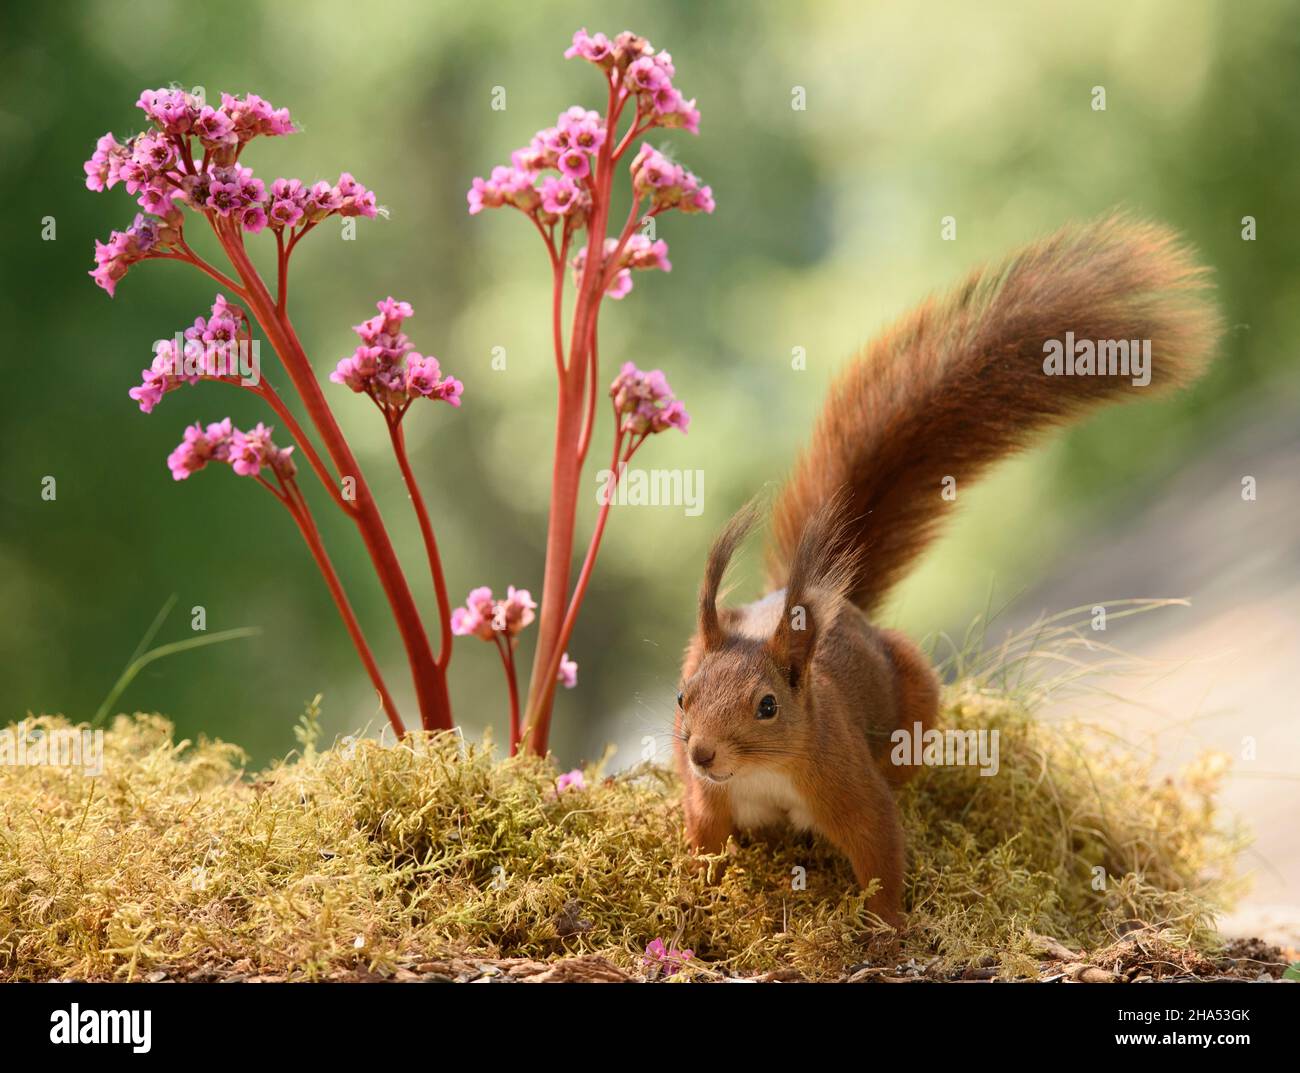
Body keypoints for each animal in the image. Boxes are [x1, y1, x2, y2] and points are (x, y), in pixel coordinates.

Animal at [673, 214, 1221, 927]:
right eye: (681, 696)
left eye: (767, 706)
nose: (701, 752)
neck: (759, 773)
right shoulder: (709, 801)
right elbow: (706, 847)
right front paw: (696, 897)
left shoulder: (842, 779)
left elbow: (879, 840)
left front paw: (884, 930)